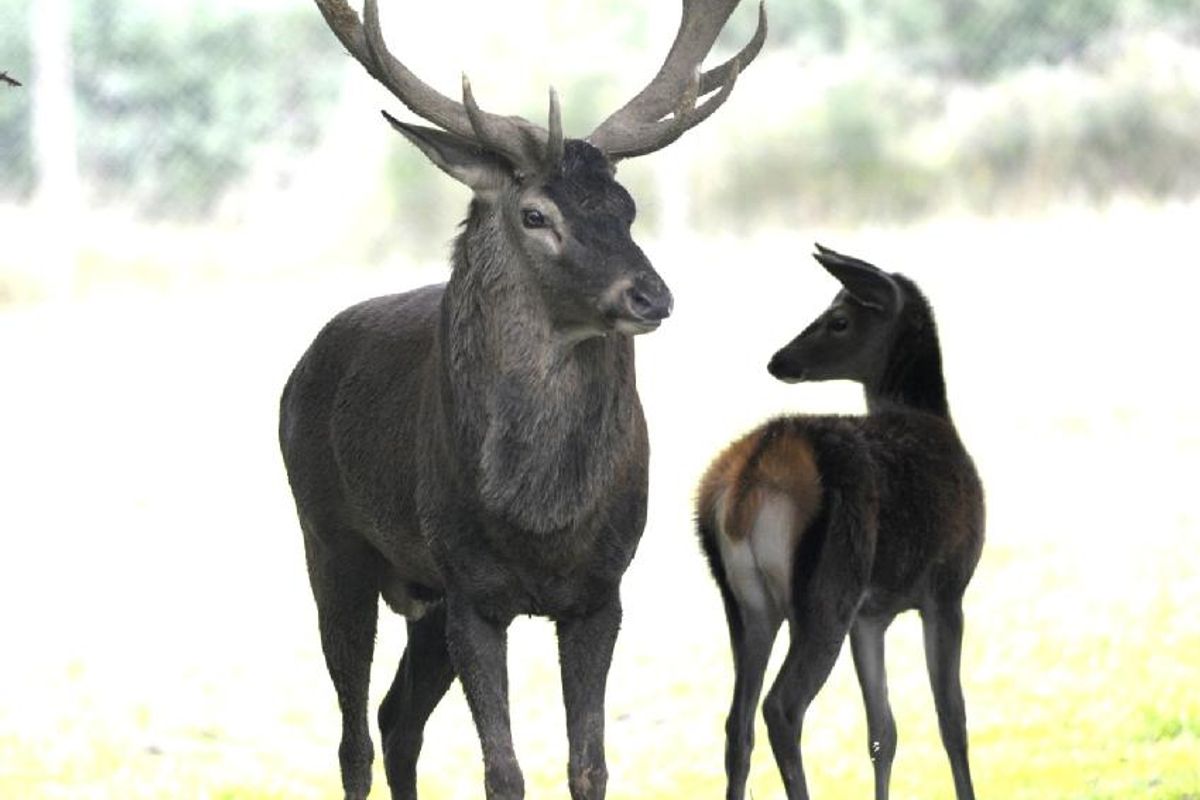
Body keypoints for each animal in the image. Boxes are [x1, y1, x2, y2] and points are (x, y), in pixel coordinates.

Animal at [278, 1, 766, 798]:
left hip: (423, 595)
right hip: (331, 543)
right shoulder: (472, 591)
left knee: (396, 718)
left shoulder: (603, 590)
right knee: (354, 738)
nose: (651, 295)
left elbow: (589, 764)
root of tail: (302, 366)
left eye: (627, 206)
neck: (542, 518)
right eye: (536, 215)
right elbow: (503, 772)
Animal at [695, 246, 985, 800]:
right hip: (828, 587)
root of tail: (746, 483)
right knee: (781, 708)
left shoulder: (870, 614)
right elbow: (952, 720)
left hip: (745, 605)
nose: (779, 359)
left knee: (736, 723)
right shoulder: (948, 587)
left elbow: (883, 731)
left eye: (838, 319)